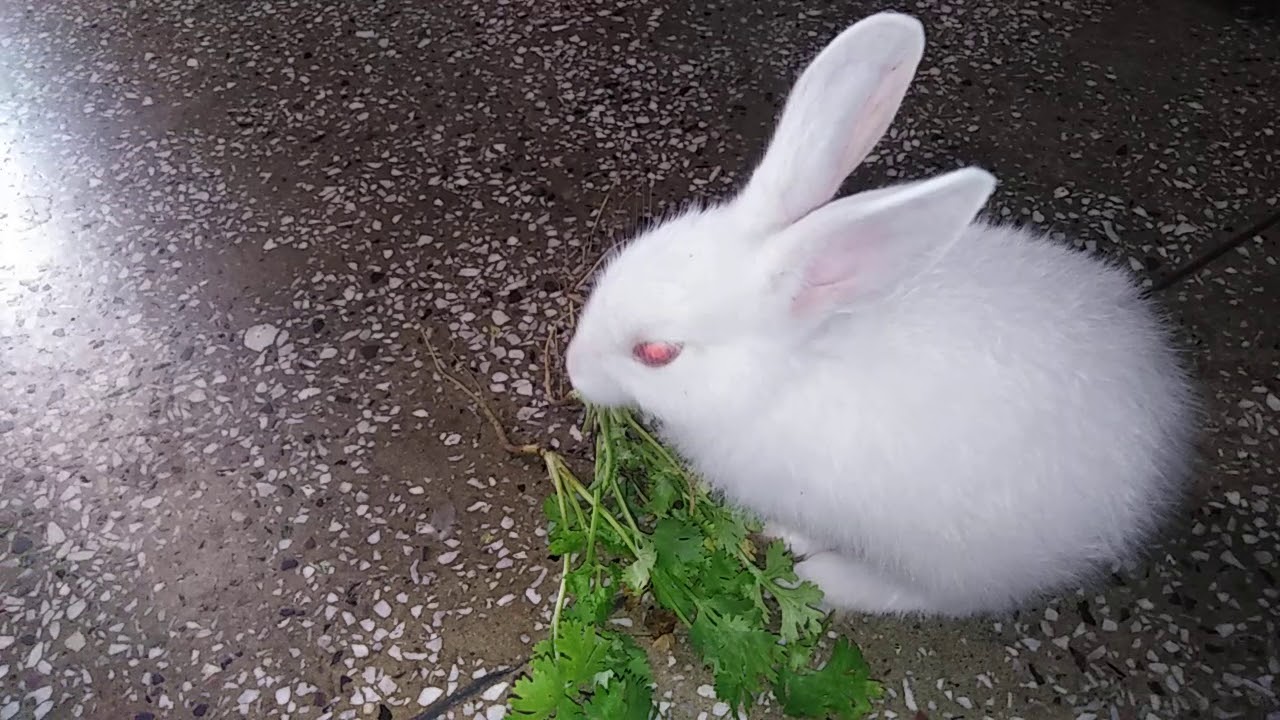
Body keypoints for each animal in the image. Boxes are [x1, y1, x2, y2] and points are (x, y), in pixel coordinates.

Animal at [563, 11, 1200, 617]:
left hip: (954, 555)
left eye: (656, 353)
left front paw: (787, 539)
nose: (573, 370)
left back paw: (823, 578)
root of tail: (1162, 447)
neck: (784, 372)